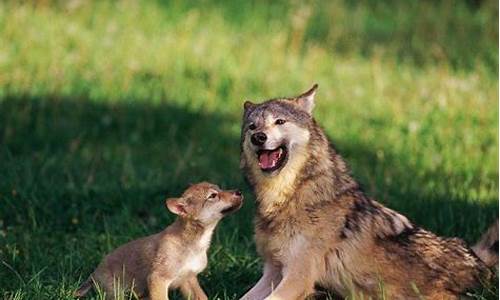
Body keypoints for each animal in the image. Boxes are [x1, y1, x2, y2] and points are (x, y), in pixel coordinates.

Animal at [240, 85, 498, 300]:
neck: (290, 198)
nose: (258, 137)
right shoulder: (273, 271)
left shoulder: (297, 277)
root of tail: (482, 264)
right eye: (252, 127)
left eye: (279, 121)